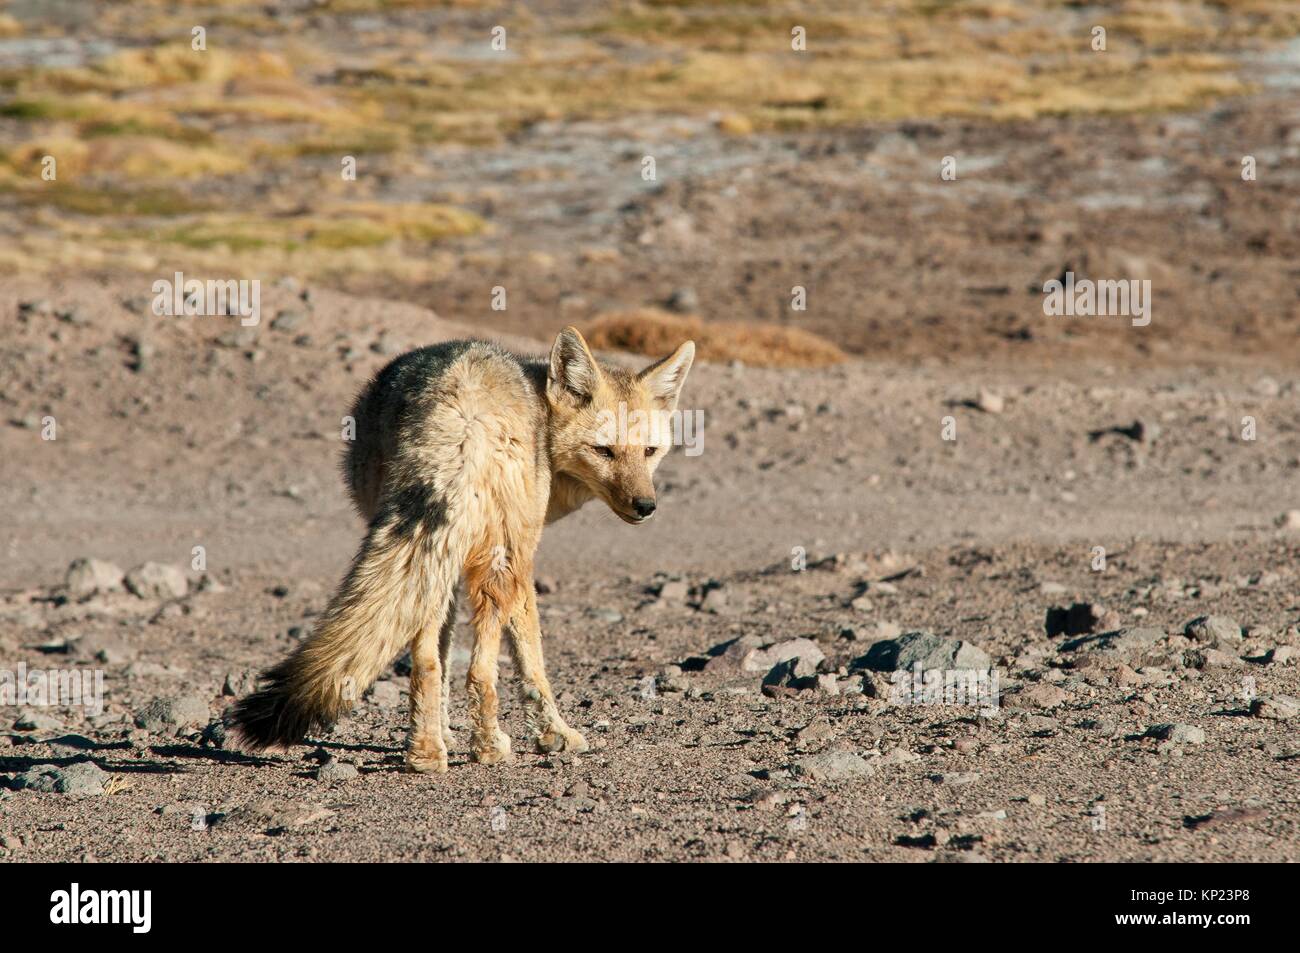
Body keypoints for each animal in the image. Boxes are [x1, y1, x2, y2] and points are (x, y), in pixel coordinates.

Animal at [228, 326, 695, 772]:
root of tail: (461, 408)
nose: (646, 506)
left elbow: (442, 655)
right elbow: (531, 660)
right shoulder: (522, 558)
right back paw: (488, 748)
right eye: (604, 451)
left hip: (440, 564)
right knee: (480, 669)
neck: (541, 407)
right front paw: (556, 735)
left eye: (650, 451)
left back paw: (425, 753)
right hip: (495, 561)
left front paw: (446, 733)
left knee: (427, 660)